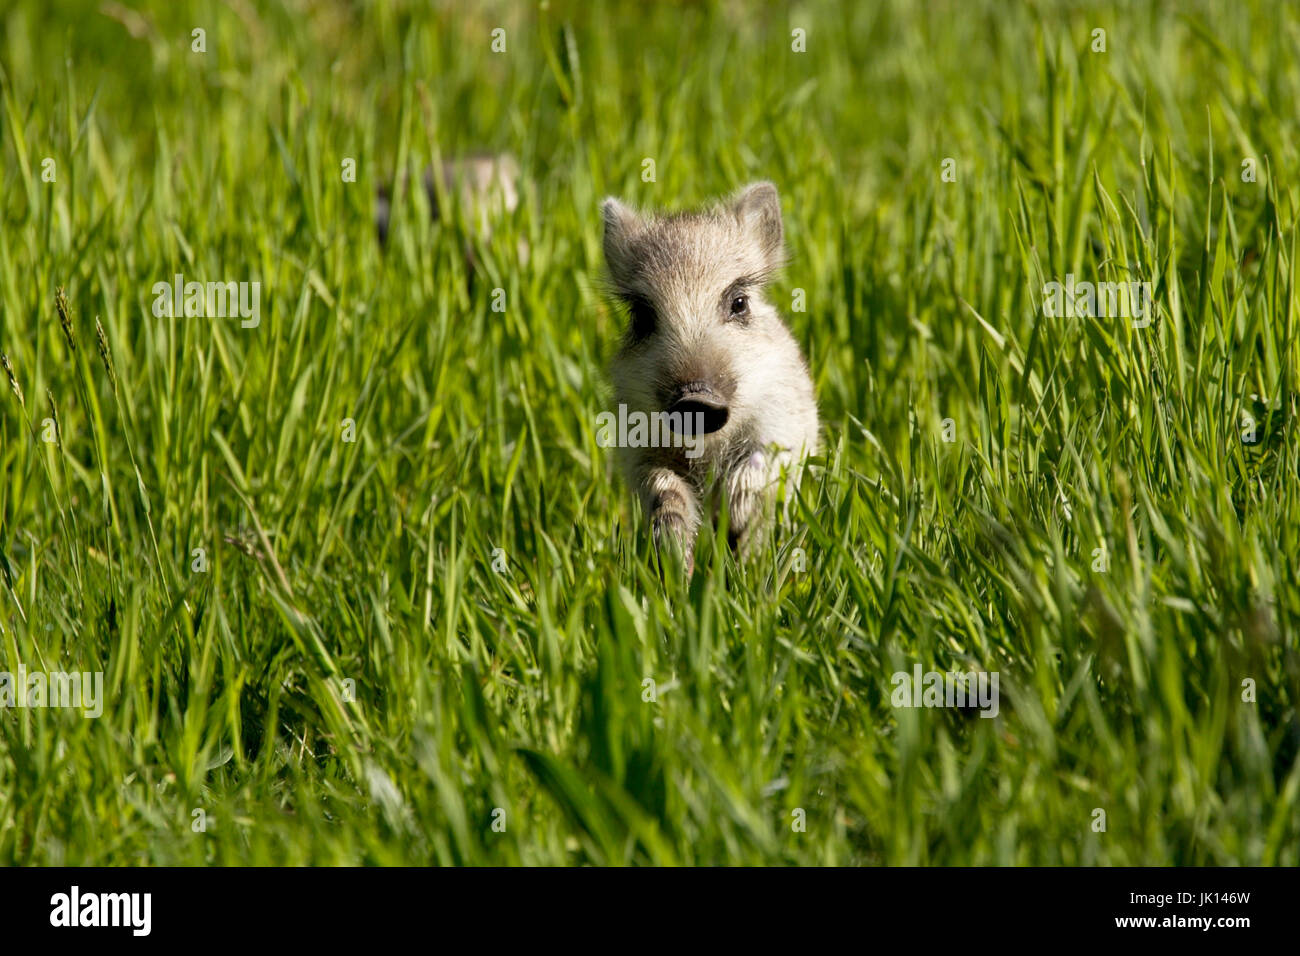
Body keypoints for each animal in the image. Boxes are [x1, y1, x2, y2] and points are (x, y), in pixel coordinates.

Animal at [601, 181, 819, 571]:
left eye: (739, 303)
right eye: (642, 316)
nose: (695, 398)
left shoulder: (783, 427)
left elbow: (760, 465)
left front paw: (737, 530)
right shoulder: (640, 450)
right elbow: (664, 491)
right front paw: (676, 559)